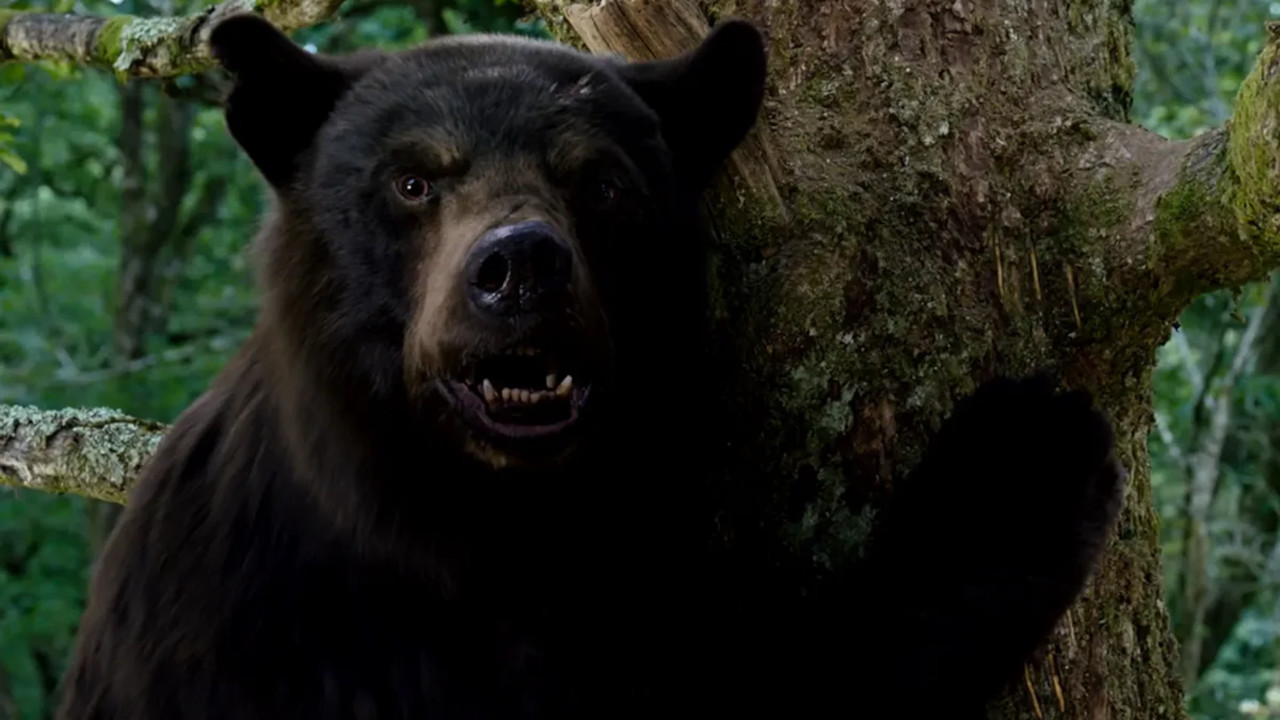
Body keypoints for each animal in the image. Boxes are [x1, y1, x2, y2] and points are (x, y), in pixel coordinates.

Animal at [53, 12, 1125, 720]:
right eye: (412, 180)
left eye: (604, 182)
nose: (520, 267)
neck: (477, 530)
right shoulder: (236, 628)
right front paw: (1022, 455)